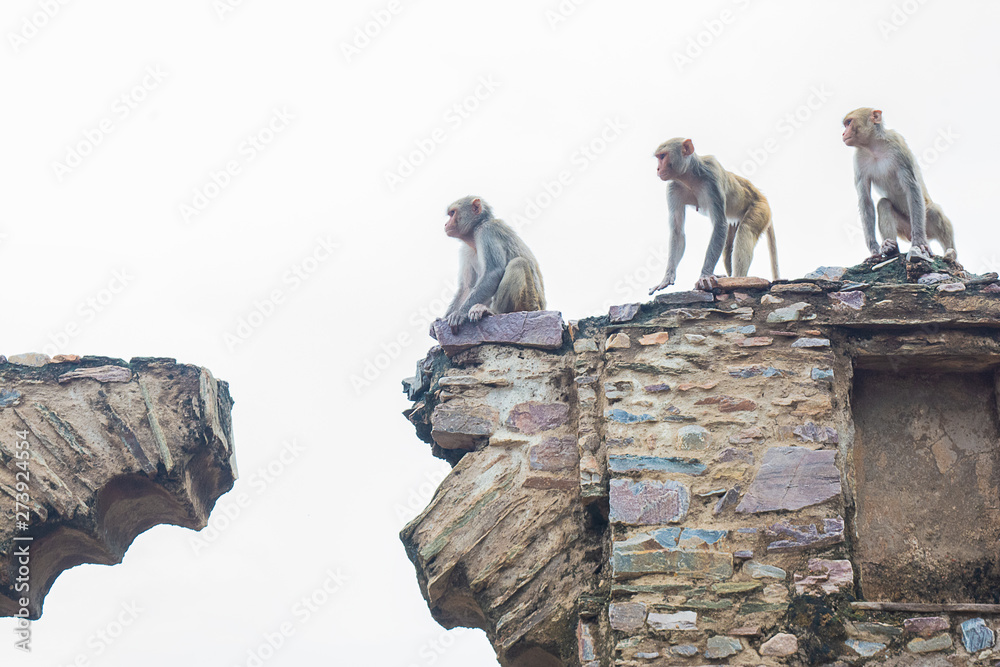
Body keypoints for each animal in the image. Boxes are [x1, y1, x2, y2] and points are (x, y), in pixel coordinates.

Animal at [437, 196, 545, 334]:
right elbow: (466, 287)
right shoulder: (465, 250)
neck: (474, 233)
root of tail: (542, 307)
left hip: (530, 303)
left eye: (452, 213)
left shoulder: (487, 231)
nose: (446, 224)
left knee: (518, 263)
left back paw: (493, 311)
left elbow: (493, 272)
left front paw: (459, 313)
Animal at [648, 138, 779, 295]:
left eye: (662, 156)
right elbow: (677, 231)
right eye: (658, 157)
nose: (657, 169)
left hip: (761, 207)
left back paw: (738, 279)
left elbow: (719, 224)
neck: (689, 176)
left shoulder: (712, 177)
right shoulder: (672, 188)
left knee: (745, 230)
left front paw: (705, 275)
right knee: (728, 246)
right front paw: (667, 277)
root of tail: (762, 196)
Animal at [842, 107, 956, 262]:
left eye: (849, 123)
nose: (843, 133)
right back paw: (890, 248)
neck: (874, 146)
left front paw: (919, 241)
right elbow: (865, 200)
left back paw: (950, 254)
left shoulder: (898, 146)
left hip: (924, 224)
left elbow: (912, 188)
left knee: (934, 211)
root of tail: (908, 234)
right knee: (884, 204)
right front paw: (874, 248)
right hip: (903, 228)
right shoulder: (858, 159)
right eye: (845, 124)